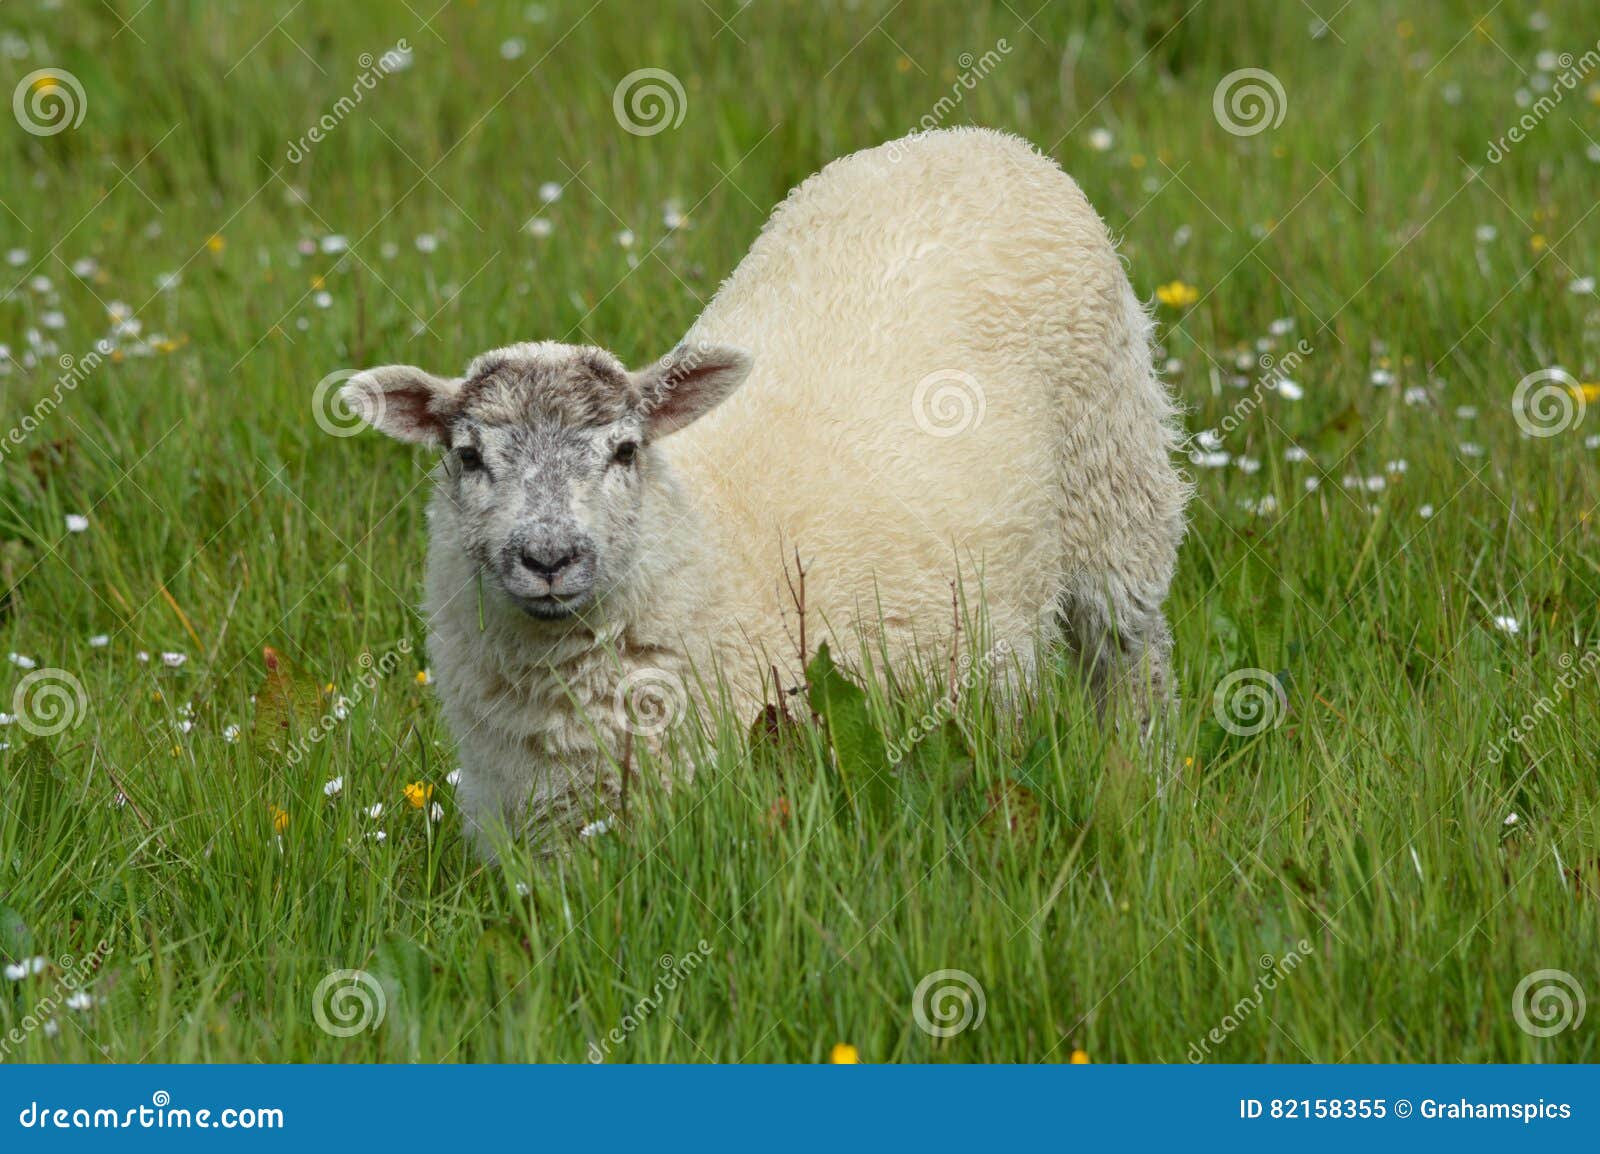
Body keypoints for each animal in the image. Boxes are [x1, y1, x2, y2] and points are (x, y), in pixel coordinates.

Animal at [341, 126, 1189, 853]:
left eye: (624, 450)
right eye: (468, 456)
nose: (548, 556)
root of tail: (976, 140)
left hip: (1114, 484)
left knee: (1130, 662)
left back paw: (1142, 783)